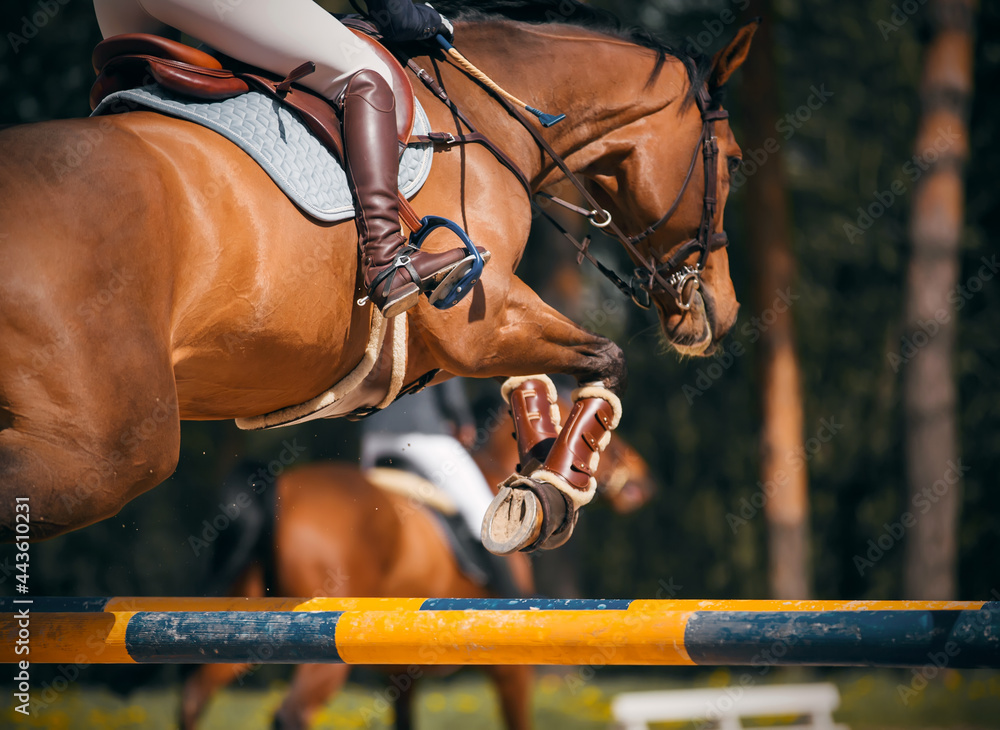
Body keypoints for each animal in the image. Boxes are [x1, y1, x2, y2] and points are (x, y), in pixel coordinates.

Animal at [0, 0, 753, 541]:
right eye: (737, 160)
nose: (722, 311)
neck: (488, 117)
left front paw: (538, 461)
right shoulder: (476, 321)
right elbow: (606, 357)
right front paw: (547, 494)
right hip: (108, 451)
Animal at [178, 403, 658, 730]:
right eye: (604, 439)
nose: (643, 478)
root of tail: (278, 492)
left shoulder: (402, 673)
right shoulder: (510, 665)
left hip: (244, 630)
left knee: (195, 695)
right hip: (319, 645)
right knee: (291, 713)